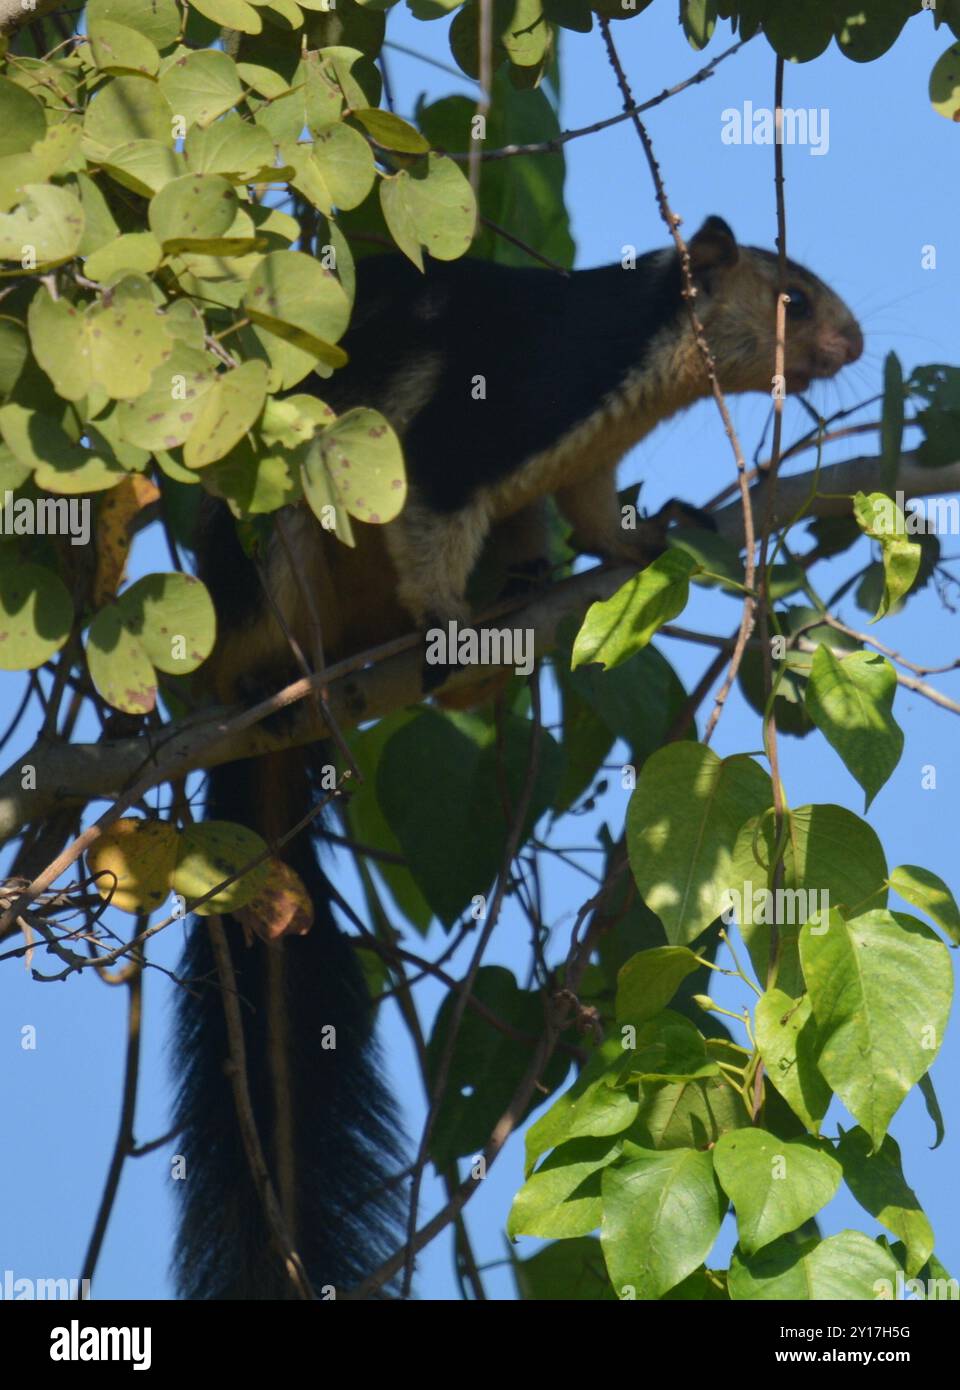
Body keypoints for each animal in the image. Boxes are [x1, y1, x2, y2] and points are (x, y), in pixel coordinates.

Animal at [176, 215, 862, 1299]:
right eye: (790, 296)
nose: (859, 343)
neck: (636, 364)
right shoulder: (491, 419)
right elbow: (429, 521)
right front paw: (448, 619)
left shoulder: (577, 468)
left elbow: (598, 520)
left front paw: (654, 533)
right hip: (277, 535)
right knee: (264, 617)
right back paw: (287, 676)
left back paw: (505, 621)